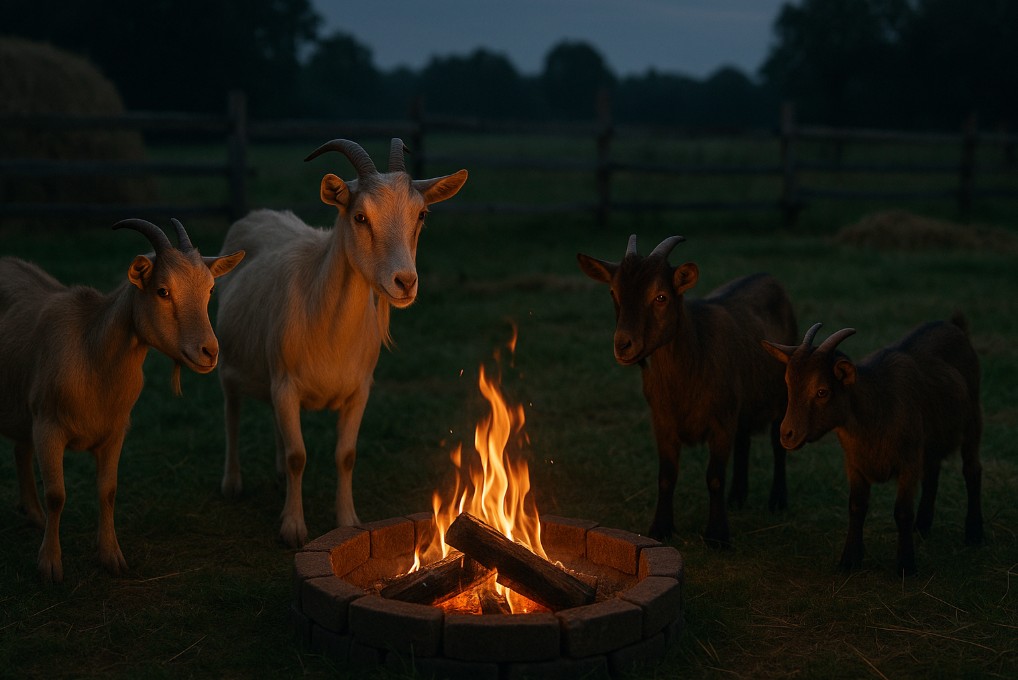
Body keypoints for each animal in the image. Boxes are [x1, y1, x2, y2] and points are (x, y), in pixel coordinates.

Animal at [0, 219, 244, 583]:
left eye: (211, 290)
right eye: (162, 291)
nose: (210, 352)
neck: (91, 353)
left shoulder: (115, 432)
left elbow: (108, 491)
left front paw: (111, 556)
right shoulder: (48, 427)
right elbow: (57, 495)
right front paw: (50, 564)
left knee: (20, 449)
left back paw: (34, 514)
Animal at [215, 138, 468, 548]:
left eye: (421, 215)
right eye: (360, 217)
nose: (405, 282)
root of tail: (258, 214)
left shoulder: (357, 389)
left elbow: (345, 454)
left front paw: (348, 521)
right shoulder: (287, 385)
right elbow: (298, 456)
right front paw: (293, 528)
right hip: (226, 363)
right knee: (231, 413)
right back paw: (232, 483)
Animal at [577, 234, 798, 545]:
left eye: (661, 296)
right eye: (613, 292)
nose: (623, 344)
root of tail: (767, 276)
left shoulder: (721, 420)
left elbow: (715, 477)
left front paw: (717, 535)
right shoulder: (663, 420)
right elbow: (666, 476)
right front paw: (661, 528)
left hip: (782, 394)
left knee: (778, 445)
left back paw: (778, 501)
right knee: (744, 440)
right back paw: (737, 497)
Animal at [762, 316, 983, 575]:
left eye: (822, 391)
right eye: (788, 384)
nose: (787, 435)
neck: (877, 409)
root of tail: (952, 325)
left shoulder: (908, 461)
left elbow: (902, 511)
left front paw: (906, 565)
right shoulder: (855, 463)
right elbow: (856, 507)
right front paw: (849, 560)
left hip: (973, 419)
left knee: (972, 469)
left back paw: (974, 534)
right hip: (931, 441)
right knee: (932, 472)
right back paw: (922, 526)